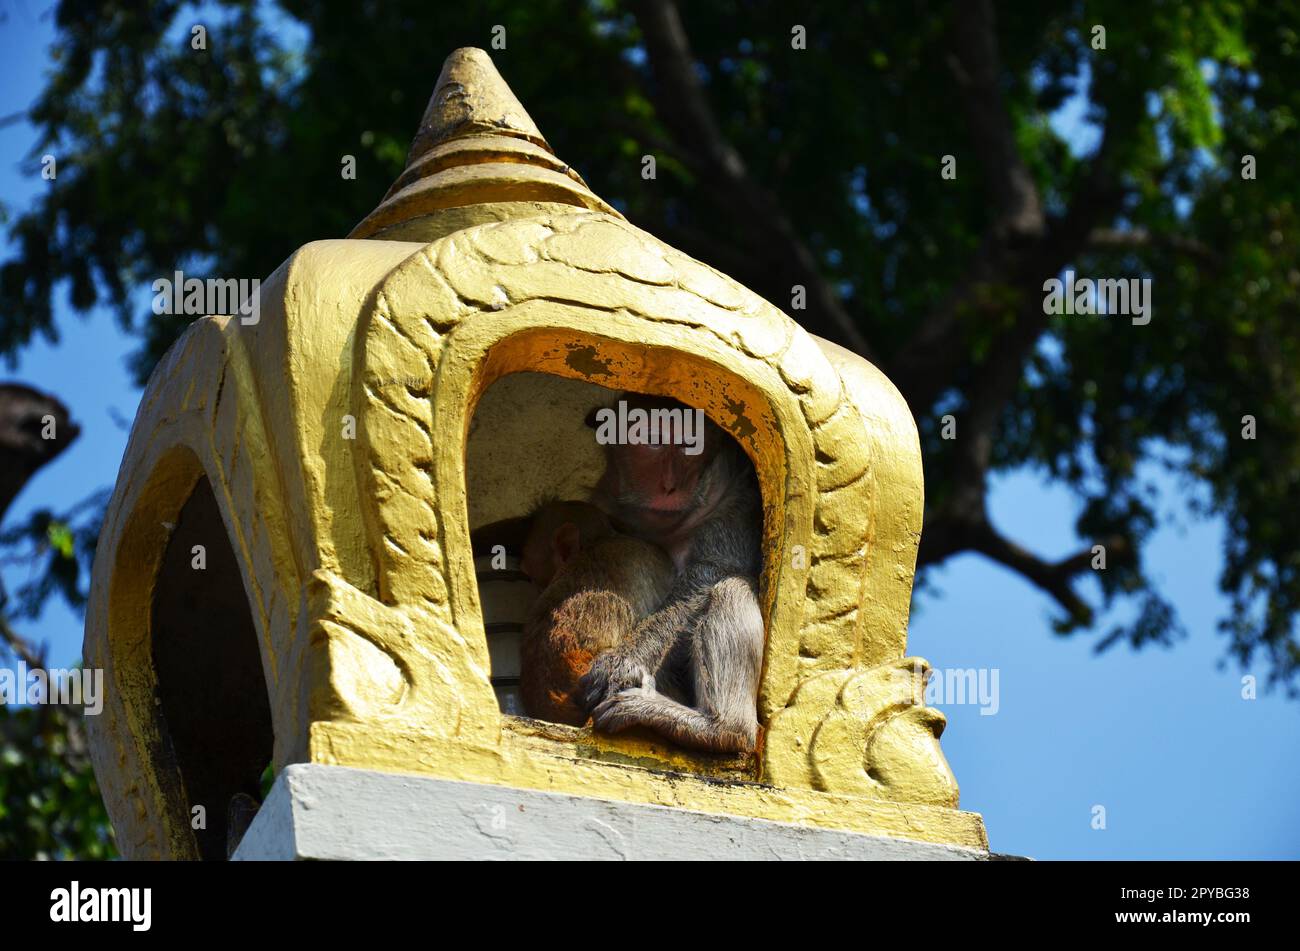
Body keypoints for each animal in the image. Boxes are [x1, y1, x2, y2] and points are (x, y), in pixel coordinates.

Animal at [577, 392, 765, 754]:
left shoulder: (738, 497)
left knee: (732, 587)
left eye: (690, 444)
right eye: (651, 440)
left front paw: (628, 658)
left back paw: (720, 728)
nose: (669, 485)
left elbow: (711, 572)